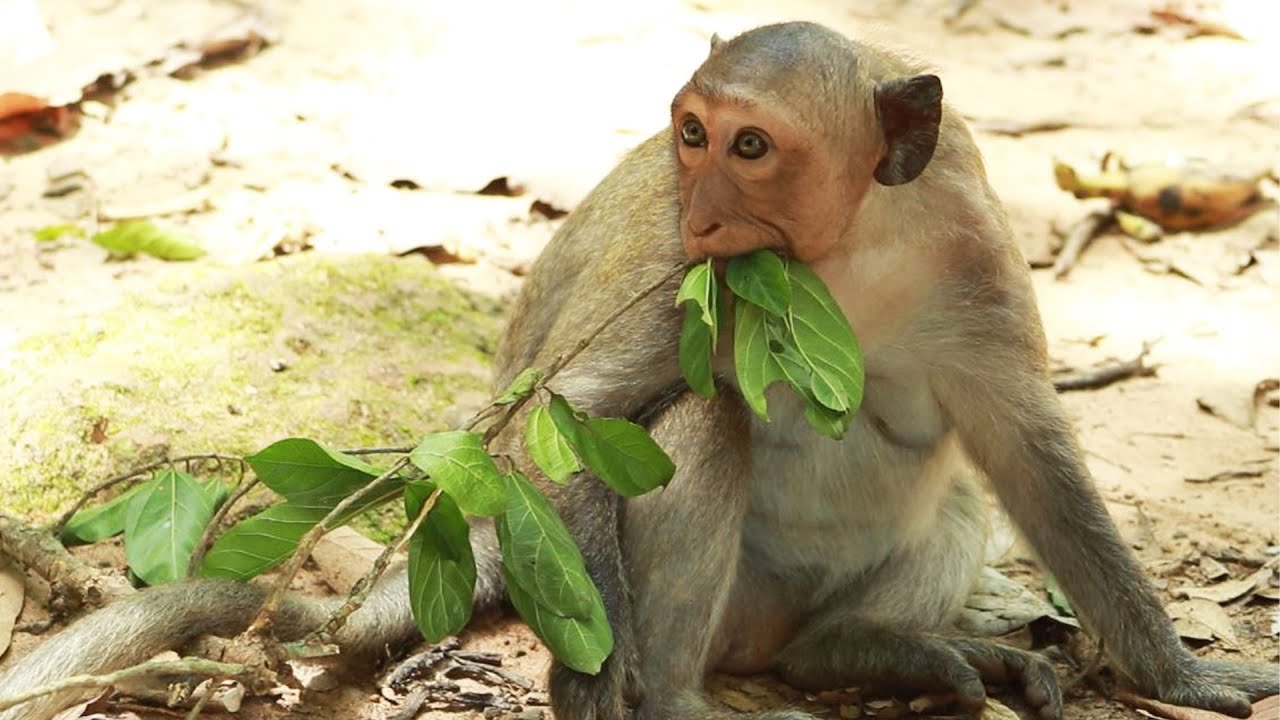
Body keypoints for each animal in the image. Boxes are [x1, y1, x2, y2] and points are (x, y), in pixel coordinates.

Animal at [1, 21, 1276, 720]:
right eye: (692, 135)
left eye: (751, 145)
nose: (707, 206)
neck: (842, 248)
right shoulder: (677, 266)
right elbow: (569, 418)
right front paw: (592, 681)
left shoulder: (964, 238)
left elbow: (1023, 448)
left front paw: (1176, 671)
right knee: (702, 423)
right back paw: (675, 697)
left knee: (948, 498)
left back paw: (856, 652)